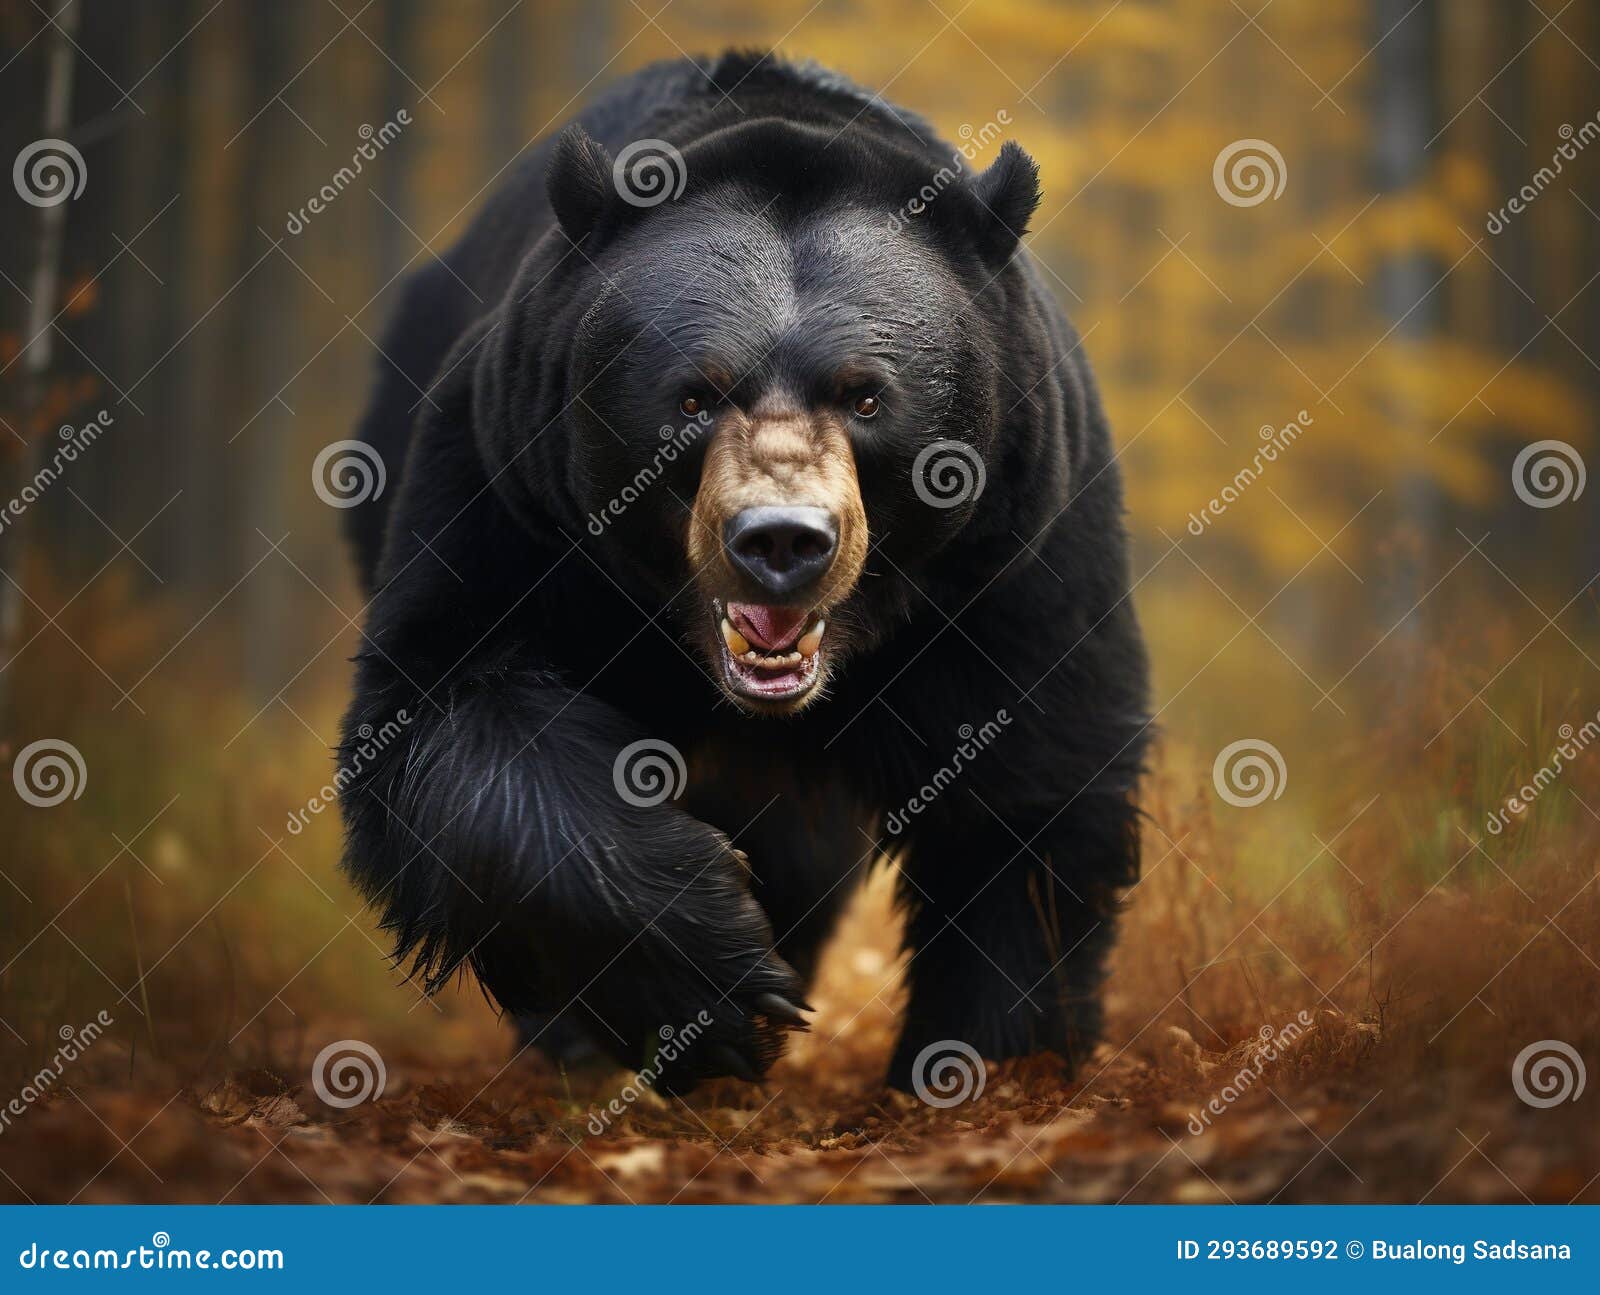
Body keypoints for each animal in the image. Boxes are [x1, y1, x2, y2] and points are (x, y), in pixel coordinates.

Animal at [337, 51, 1150, 1094]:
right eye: (694, 396)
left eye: (866, 396)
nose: (781, 541)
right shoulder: (514, 497)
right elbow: (452, 699)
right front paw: (705, 991)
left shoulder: (1012, 554)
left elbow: (1030, 784)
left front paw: (983, 1059)